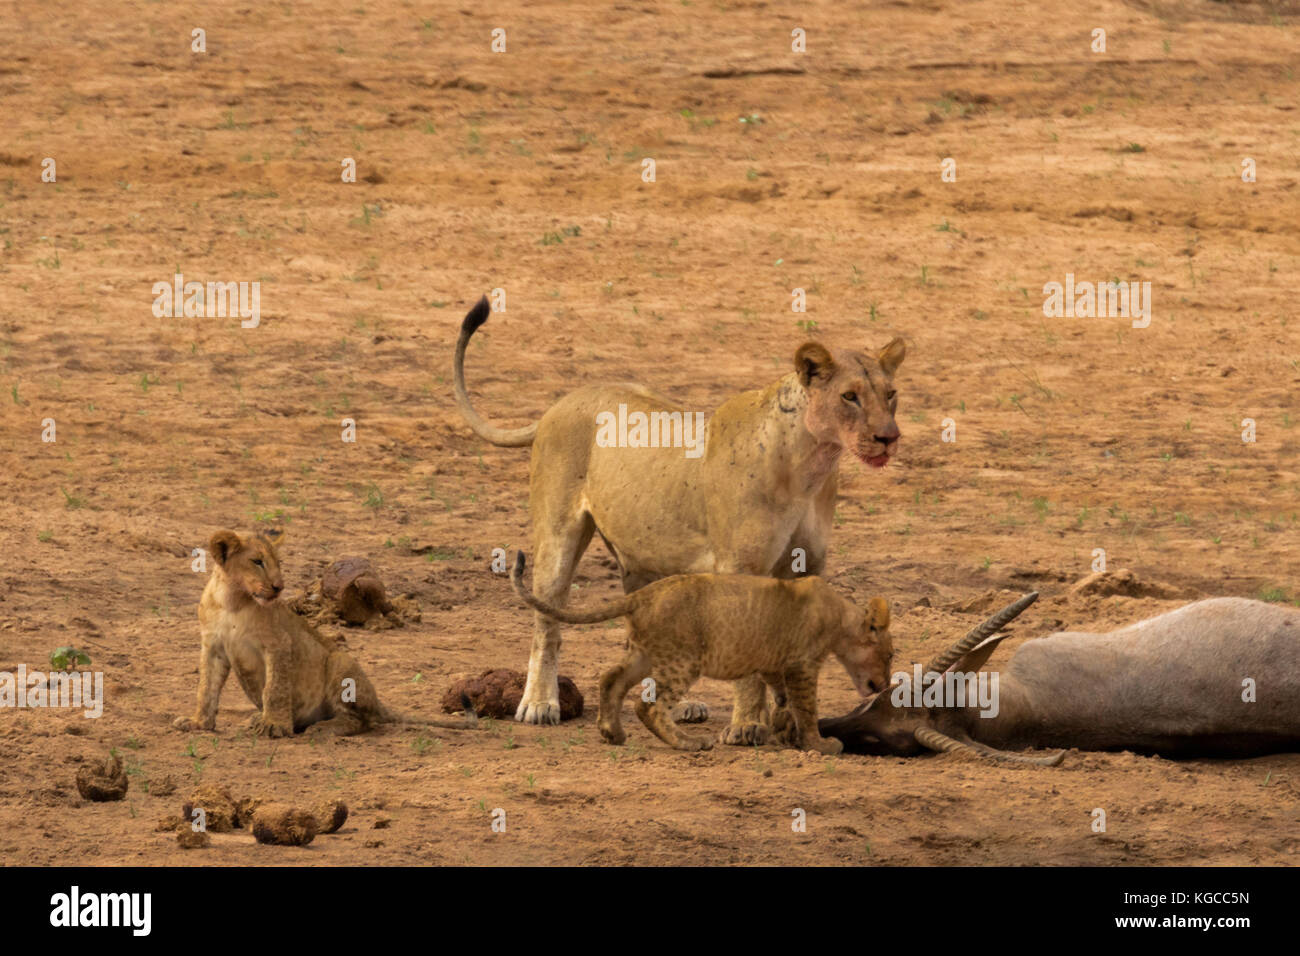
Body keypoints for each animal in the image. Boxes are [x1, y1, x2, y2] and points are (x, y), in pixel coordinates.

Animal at [173, 529, 477, 737]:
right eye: (257, 561)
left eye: (278, 562)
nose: (279, 587)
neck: (232, 601)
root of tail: (379, 703)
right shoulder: (212, 647)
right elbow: (206, 689)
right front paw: (198, 723)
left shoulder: (279, 644)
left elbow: (275, 689)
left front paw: (274, 725)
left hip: (340, 661)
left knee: (360, 721)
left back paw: (321, 728)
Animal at [510, 552, 893, 753]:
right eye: (889, 656)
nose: (886, 683)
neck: (839, 615)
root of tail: (642, 595)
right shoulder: (802, 665)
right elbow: (807, 707)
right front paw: (819, 744)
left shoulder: (776, 663)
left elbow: (781, 697)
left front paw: (782, 726)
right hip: (683, 660)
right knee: (648, 706)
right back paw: (688, 742)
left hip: (646, 654)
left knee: (611, 680)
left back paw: (612, 733)